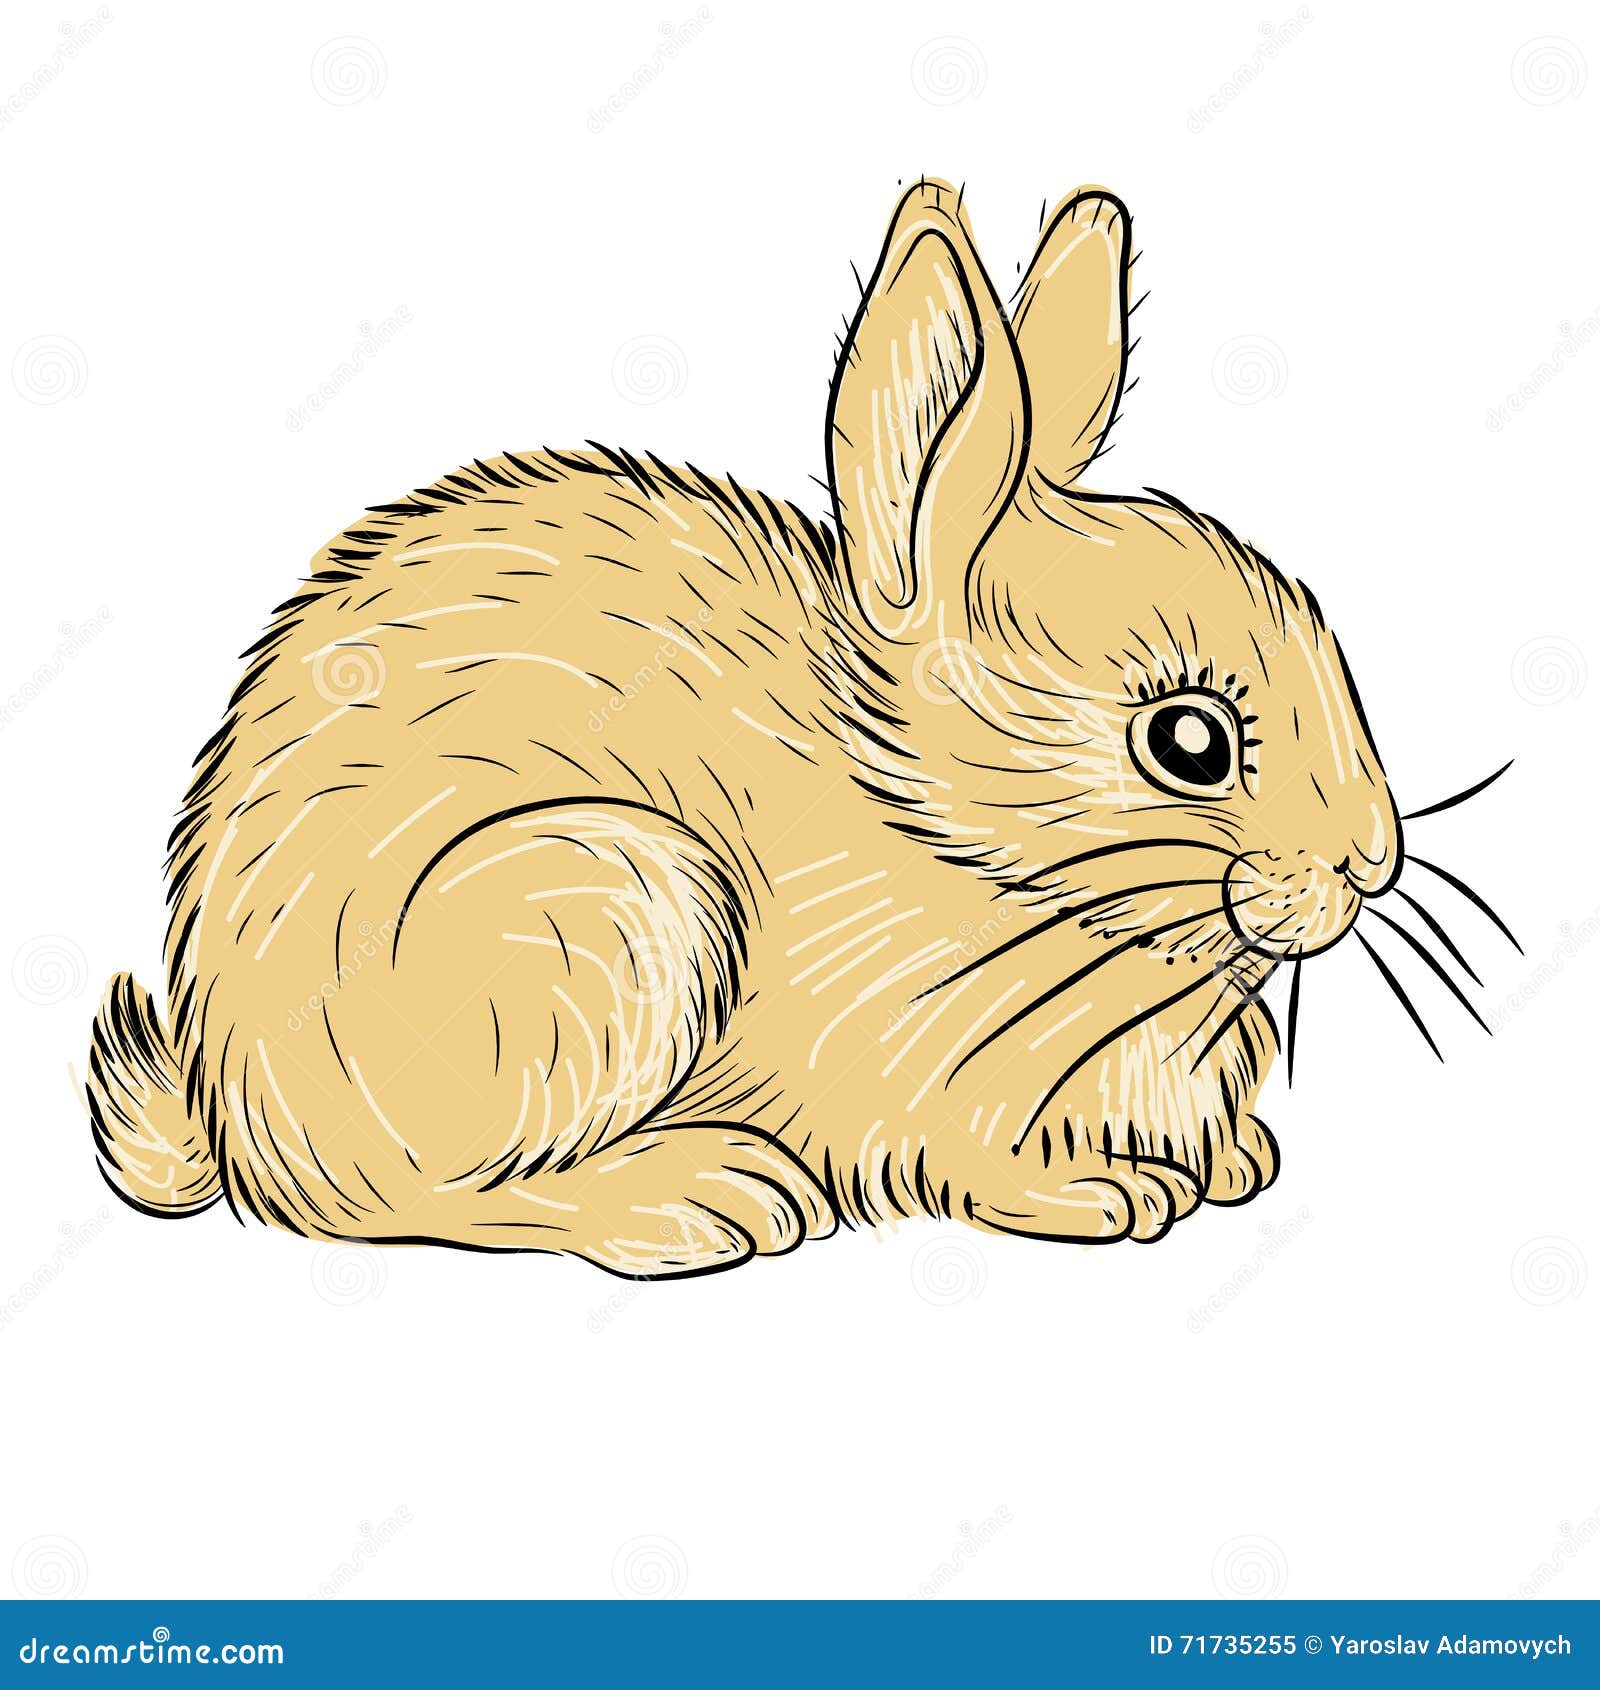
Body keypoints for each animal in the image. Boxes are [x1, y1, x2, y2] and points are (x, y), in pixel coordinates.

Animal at [86, 176, 1423, 1278]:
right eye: (1188, 742)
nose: (1370, 859)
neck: (959, 850)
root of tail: (238, 1115)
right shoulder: (915, 1094)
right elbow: (967, 1166)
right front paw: (1107, 1195)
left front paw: (1237, 1160)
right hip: (603, 909)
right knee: (402, 1202)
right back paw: (695, 1199)